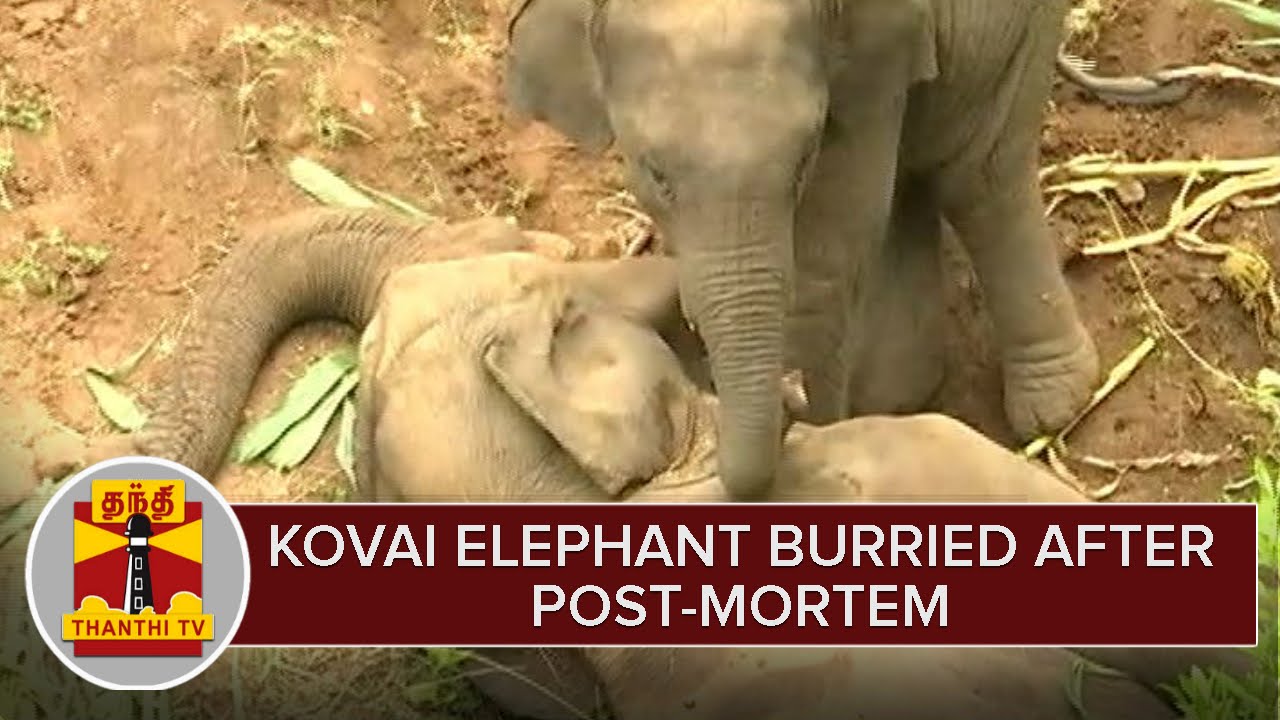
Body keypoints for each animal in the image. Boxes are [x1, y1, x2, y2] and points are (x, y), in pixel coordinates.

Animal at [502, 0, 1112, 503]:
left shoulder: (864, 63)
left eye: (803, 160)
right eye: (657, 175)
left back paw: (1053, 404)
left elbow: (831, 252)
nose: (788, 401)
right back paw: (902, 391)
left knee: (974, 169)